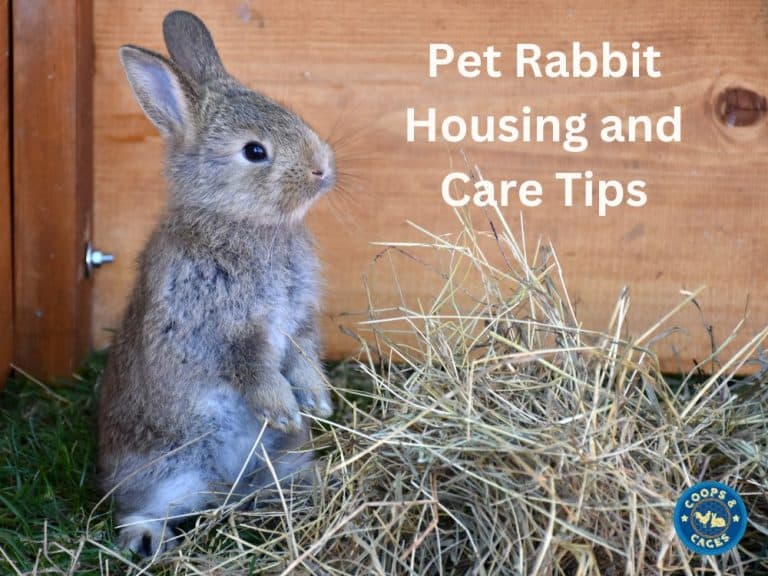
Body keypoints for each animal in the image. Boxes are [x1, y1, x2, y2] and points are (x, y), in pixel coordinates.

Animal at [97, 10, 335, 557]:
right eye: (255, 151)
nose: (322, 168)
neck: (239, 222)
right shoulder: (217, 327)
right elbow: (251, 368)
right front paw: (285, 410)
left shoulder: (300, 321)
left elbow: (304, 355)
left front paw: (317, 402)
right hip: (166, 469)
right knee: (136, 506)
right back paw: (148, 539)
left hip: (280, 462)